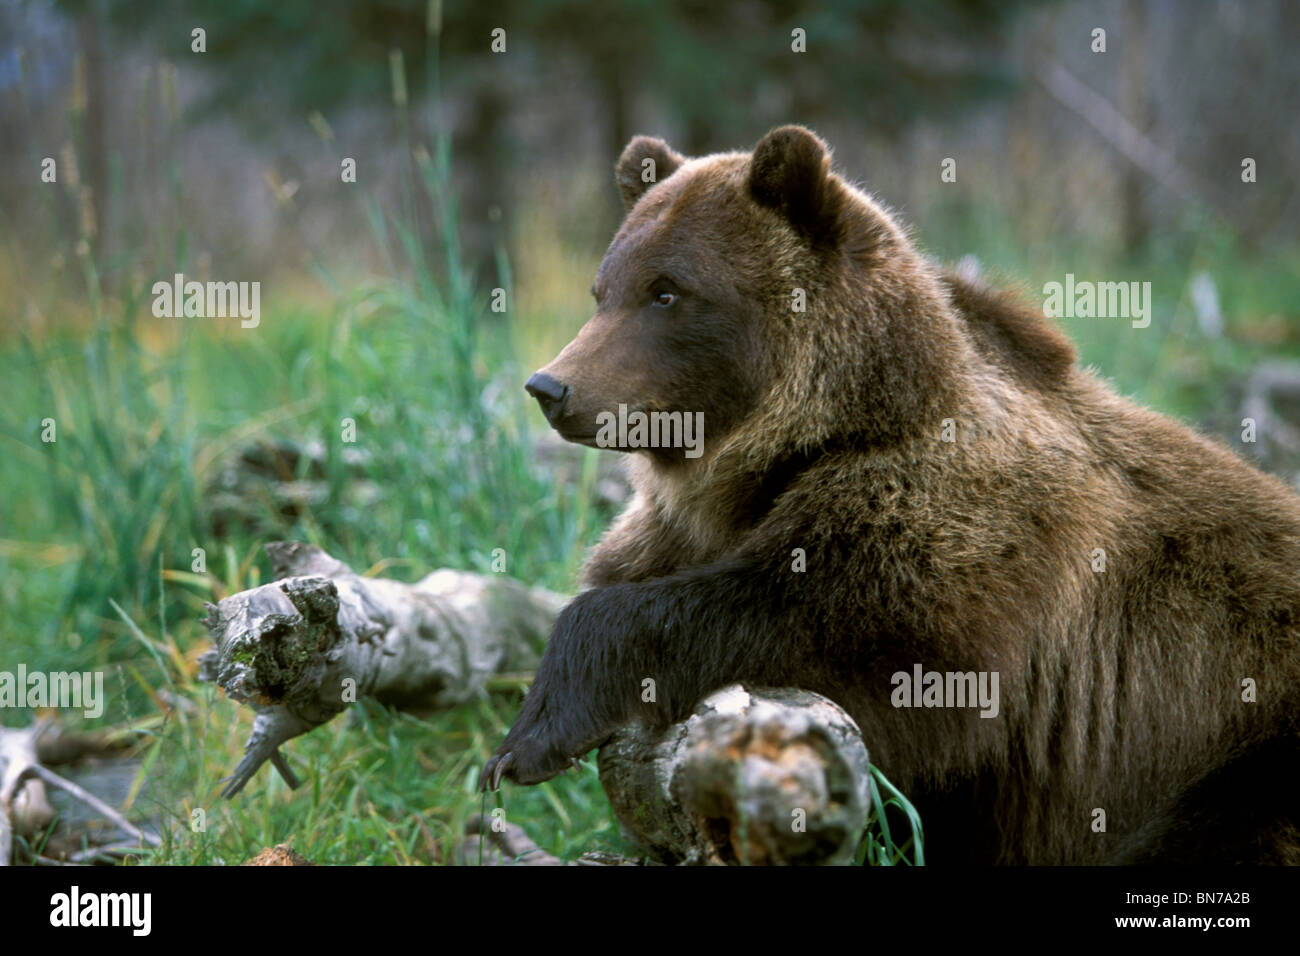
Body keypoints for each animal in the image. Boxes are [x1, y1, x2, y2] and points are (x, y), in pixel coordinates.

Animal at [482, 125, 1300, 865]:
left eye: (667, 290)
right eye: (603, 289)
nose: (551, 386)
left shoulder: (961, 535)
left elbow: (856, 642)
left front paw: (530, 733)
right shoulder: (682, 528)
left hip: (1245, 744)